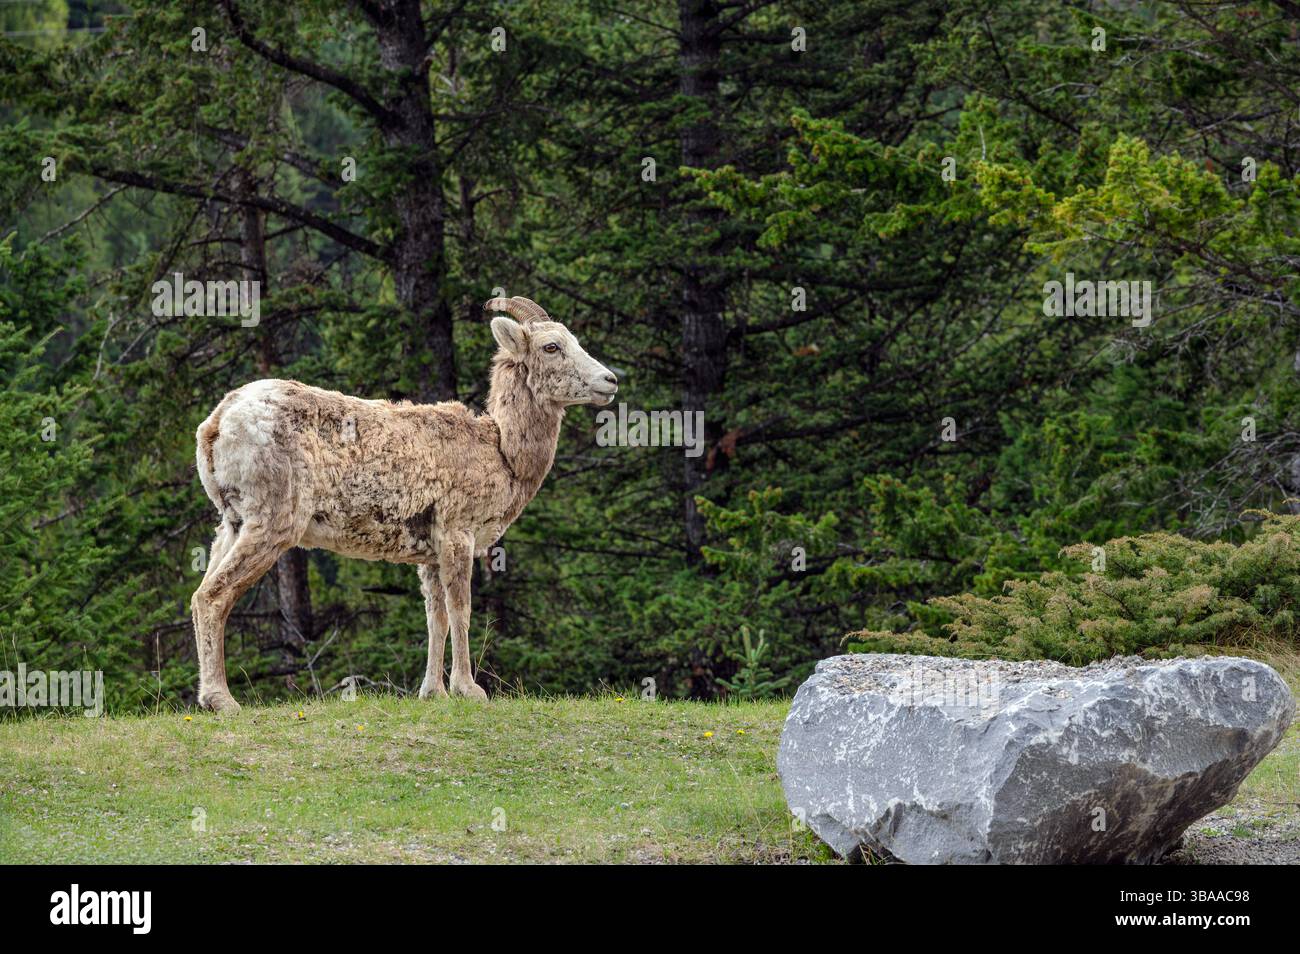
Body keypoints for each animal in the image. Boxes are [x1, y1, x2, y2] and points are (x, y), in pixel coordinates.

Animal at [190, 296, 618, 712]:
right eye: (551, 346)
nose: (610, 380)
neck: (503, 455)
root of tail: (215, 425)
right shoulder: (457, 531)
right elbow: (461, 610)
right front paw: (469, 690)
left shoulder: (428, 553)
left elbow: (436, 618)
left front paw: (433, 692)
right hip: (273, 521)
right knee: (212, 596)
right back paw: (222, 700)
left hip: (231, 523)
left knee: (199, 595)